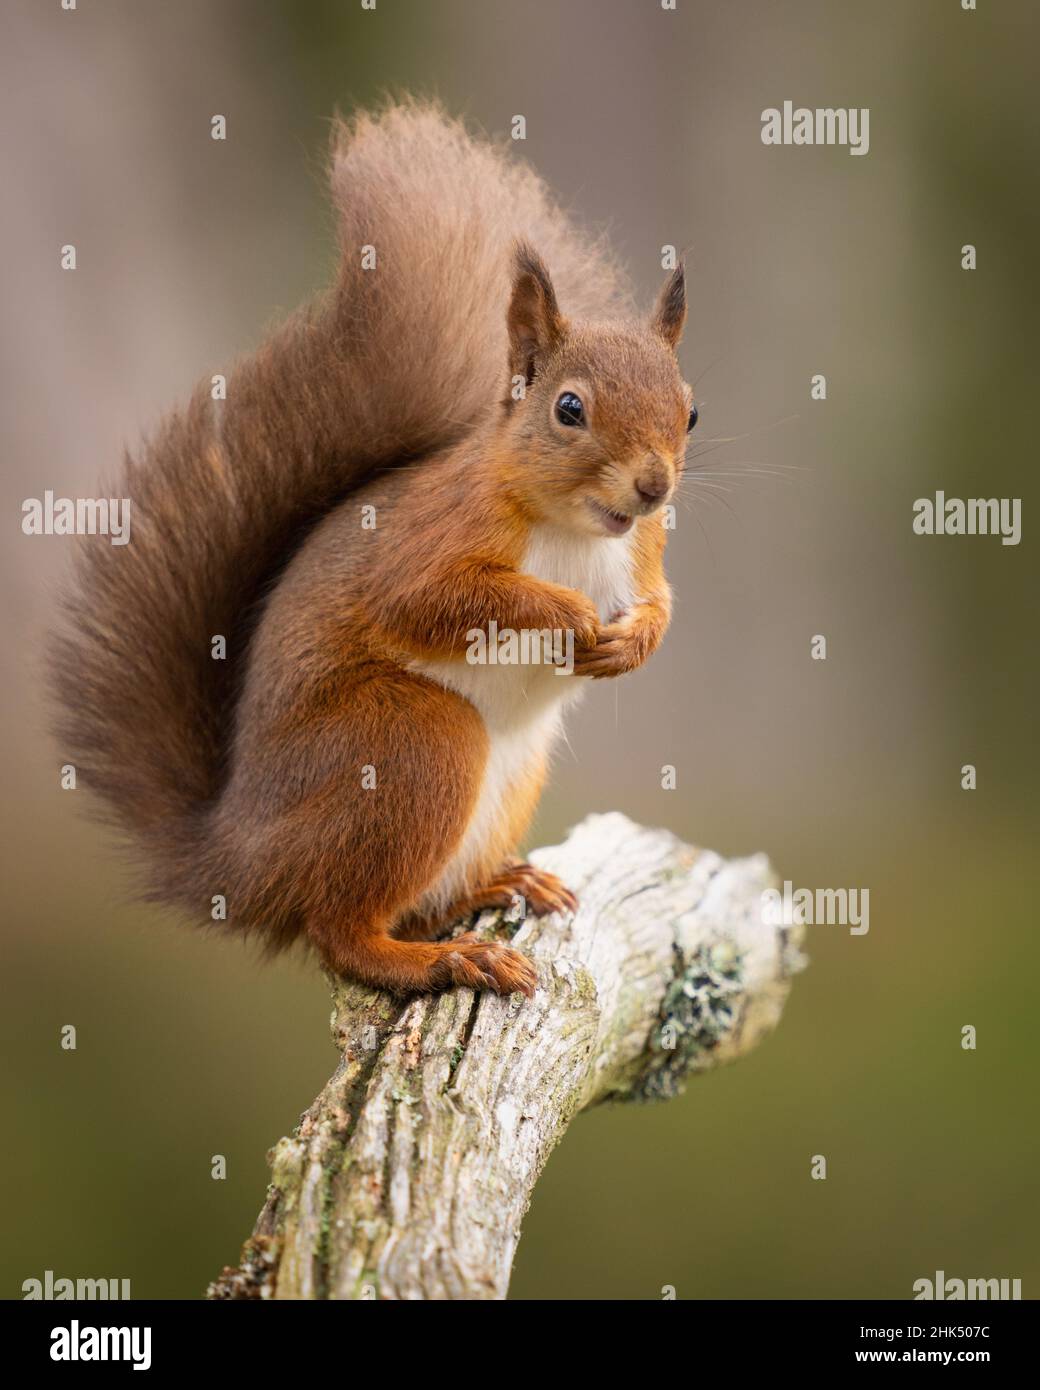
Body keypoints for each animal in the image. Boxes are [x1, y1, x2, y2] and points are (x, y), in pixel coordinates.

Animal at [51, 100, 697, 999]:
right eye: (569, 408)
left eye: (692, 411)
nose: (653, 487)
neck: (579, 528)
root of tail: (238, 861)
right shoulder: (434, 536)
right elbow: (430, 599)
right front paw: (564, 614)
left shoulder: (644, 551)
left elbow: (661, 601)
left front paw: (634, 639)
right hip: (410, 745)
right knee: (341, 933)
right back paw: (443, 957)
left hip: (504, 776)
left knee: (407, 905)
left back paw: (495, 887)